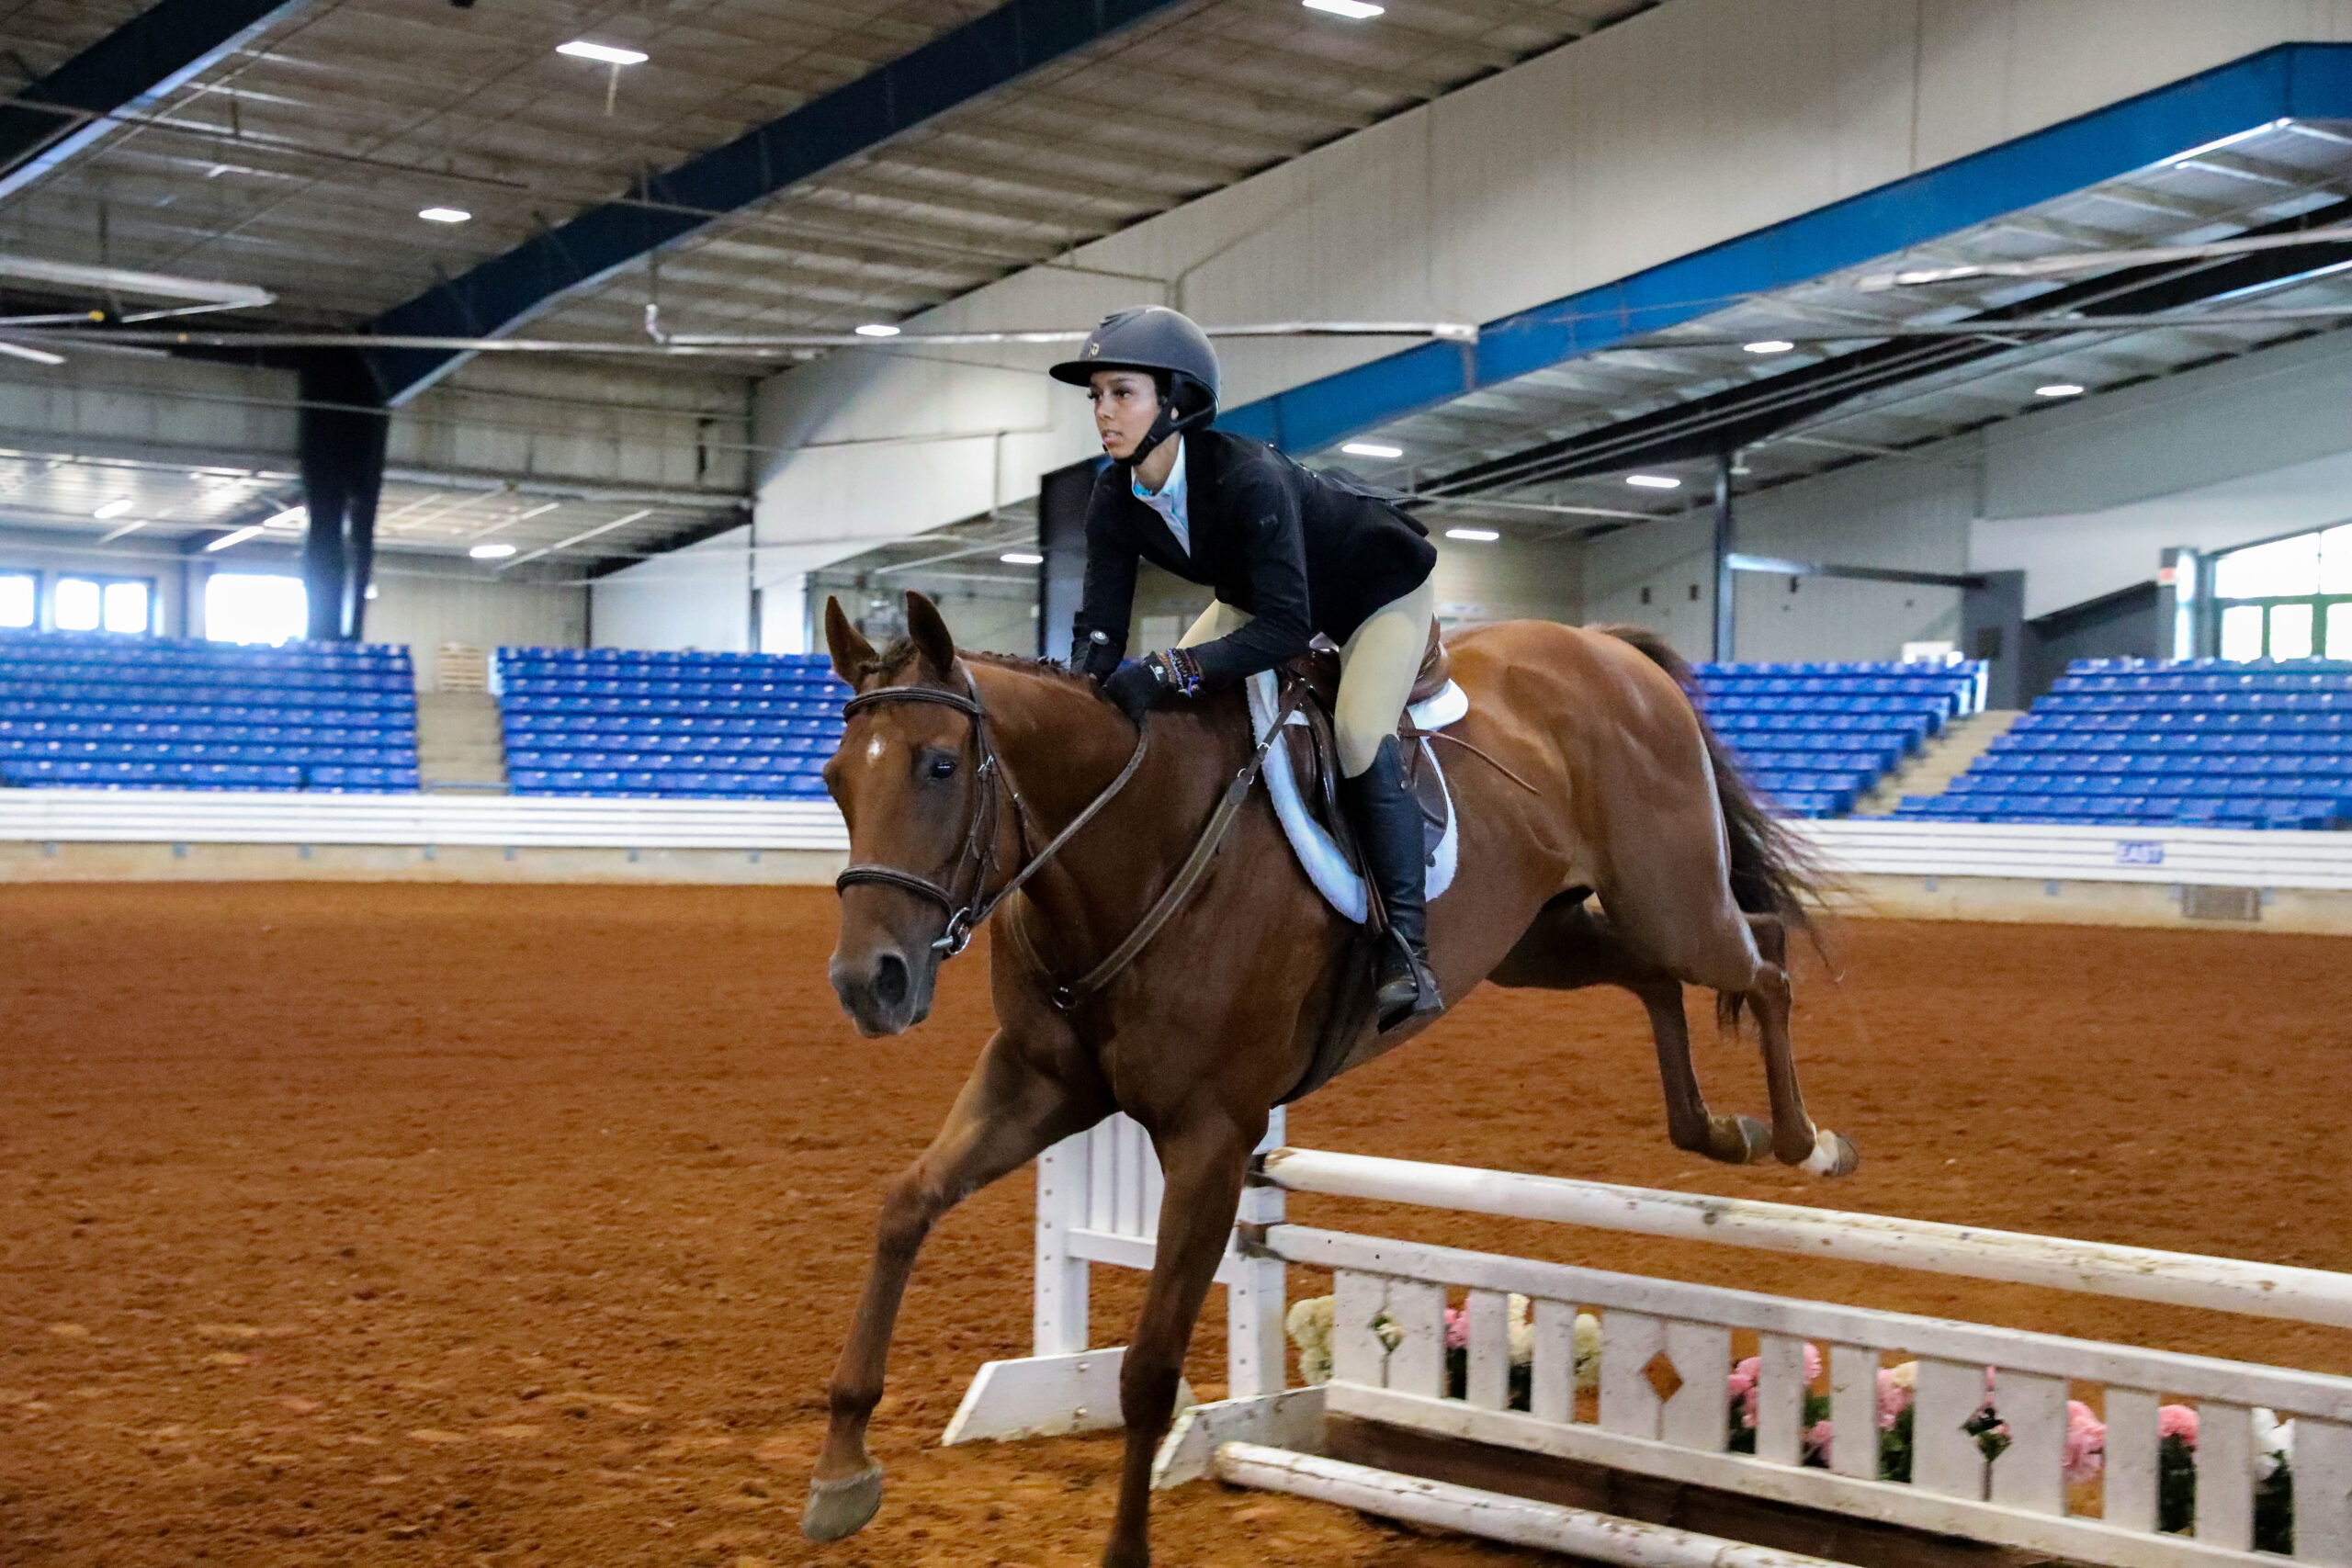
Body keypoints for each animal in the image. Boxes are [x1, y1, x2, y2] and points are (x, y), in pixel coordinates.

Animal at [805, 590, 1854, 1568]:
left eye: (940, 766)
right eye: (833, 780)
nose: (866, 984)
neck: (1128, 844)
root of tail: (1608, 651)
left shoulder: (1212, 1138)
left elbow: (1147, 1369)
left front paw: (1125, 1549)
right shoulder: (1039, 1085)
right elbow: (905, 1207)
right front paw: (841, 1474)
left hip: (1671, 901)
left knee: (1761, 960)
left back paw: (1808, 1145)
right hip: (1539, 940)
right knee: (1657, 979)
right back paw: (1720, 1132)